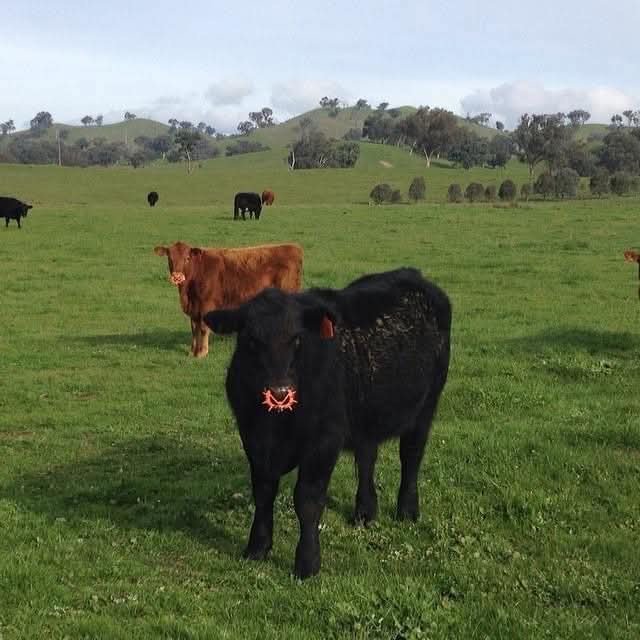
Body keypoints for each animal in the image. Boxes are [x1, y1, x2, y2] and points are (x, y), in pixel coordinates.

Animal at [154, 241, 303, 357]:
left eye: (187, 258)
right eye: (170, 258)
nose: (177, 276)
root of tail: (292, 247)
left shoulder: (206, 306)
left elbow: (203, 329)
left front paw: (202, 352)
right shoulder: (194, 309)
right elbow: (194, 329)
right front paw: (192, 352)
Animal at [203, 268, 451, 579]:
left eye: (297, 339)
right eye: (250, 340)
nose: (280, 392)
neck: (274, 426)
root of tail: (414, 276)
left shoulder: (323, 441)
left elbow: (307, 500)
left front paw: (307, 563)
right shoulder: (253, 439)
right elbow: (263, 493)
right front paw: (257, 548)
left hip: (425, 407)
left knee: (411, 457)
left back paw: (407, 511)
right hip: (364, 417)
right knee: (367, 458)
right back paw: (365, 512)